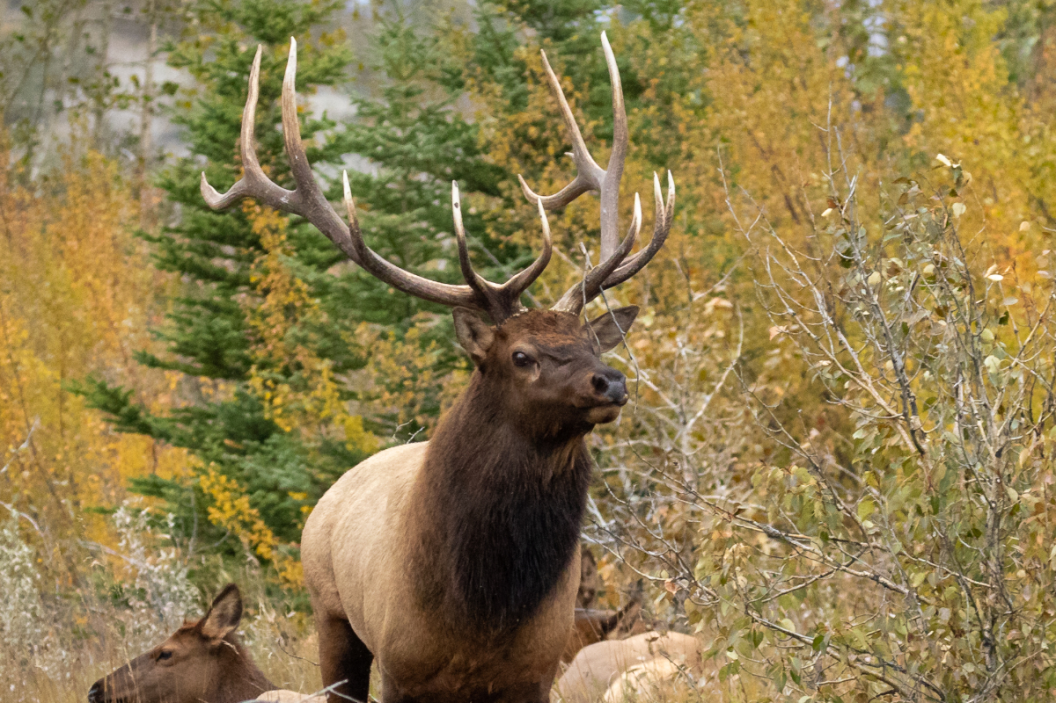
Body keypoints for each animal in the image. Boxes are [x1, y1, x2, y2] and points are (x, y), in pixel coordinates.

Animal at [200, 31, 675, 703]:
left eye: (593, 342)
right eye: (520, 355)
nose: (612, 381)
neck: (481, 610)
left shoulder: (537, 669)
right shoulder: (403, 665)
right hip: (331, 613)